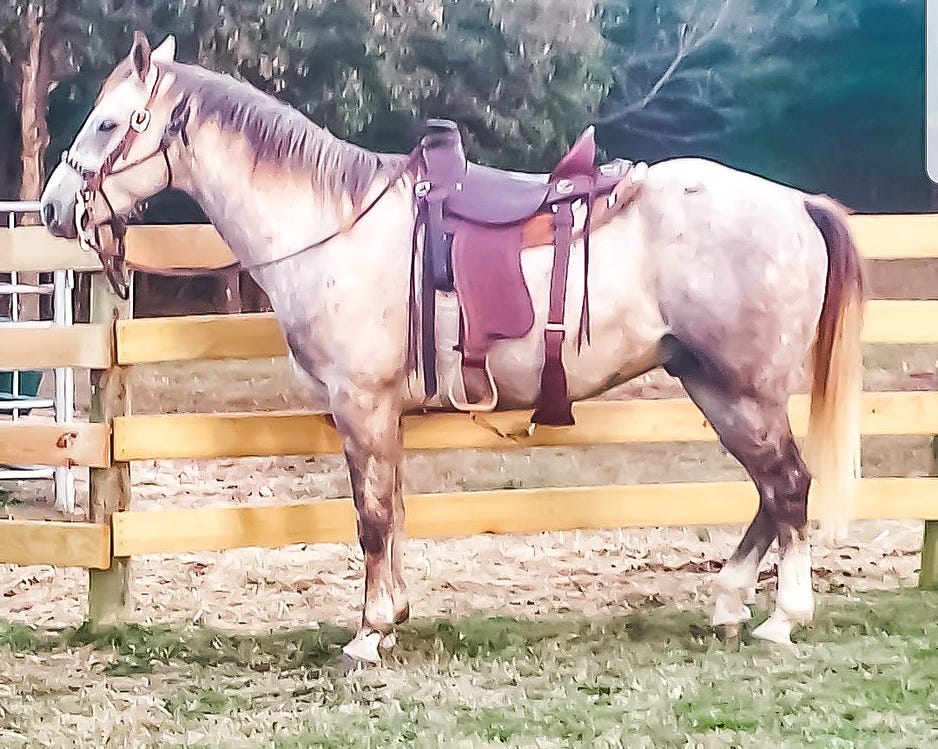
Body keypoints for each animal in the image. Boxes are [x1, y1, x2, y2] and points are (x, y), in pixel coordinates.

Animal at [39, 32, 864, 664]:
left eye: (108, 124)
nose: (51, 206)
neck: (335, 222)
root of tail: (795, 203)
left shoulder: (362, 404)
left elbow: (373, 516)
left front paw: (368, 634)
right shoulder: (381, 414)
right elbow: (394, 511)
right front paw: (394, 617)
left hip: (745, 387)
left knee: (789, 485)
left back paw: (782, 617)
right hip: (714, 384)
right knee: (771, 490)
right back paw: (729, 602)